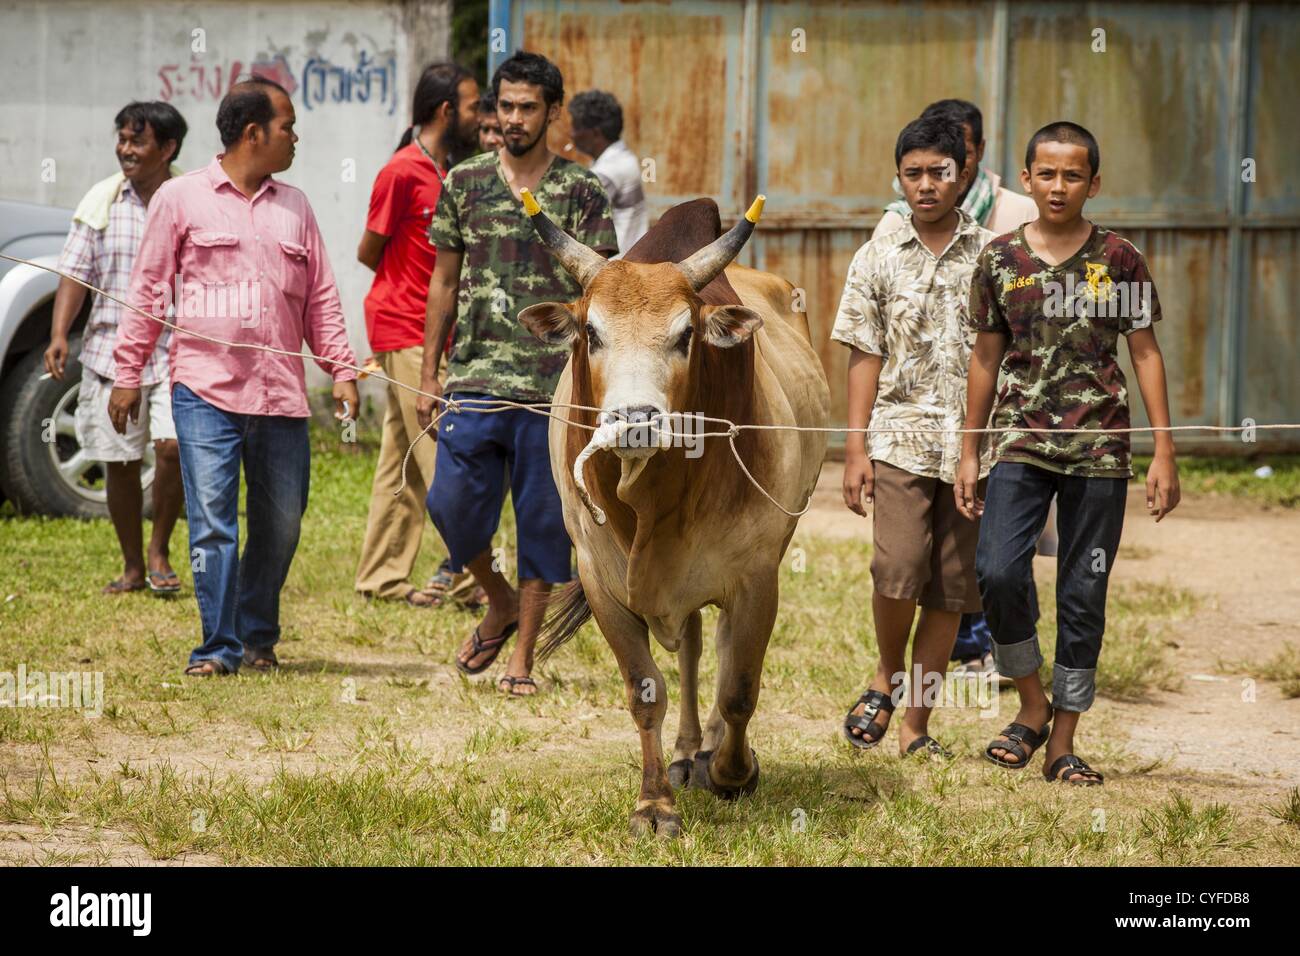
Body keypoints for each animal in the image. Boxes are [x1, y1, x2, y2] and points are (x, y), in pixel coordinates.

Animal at [517, 189, 829, 837]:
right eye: (591, 331)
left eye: (686, 335)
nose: (635, 420)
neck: (651, 503)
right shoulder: (603, 582)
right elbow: (647, 693)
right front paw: (655, 803)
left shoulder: (756, 578)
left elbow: (738, 687)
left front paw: (735, 772)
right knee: (689, 647)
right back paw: (687, 752)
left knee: (721, 652)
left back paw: (709, 752)